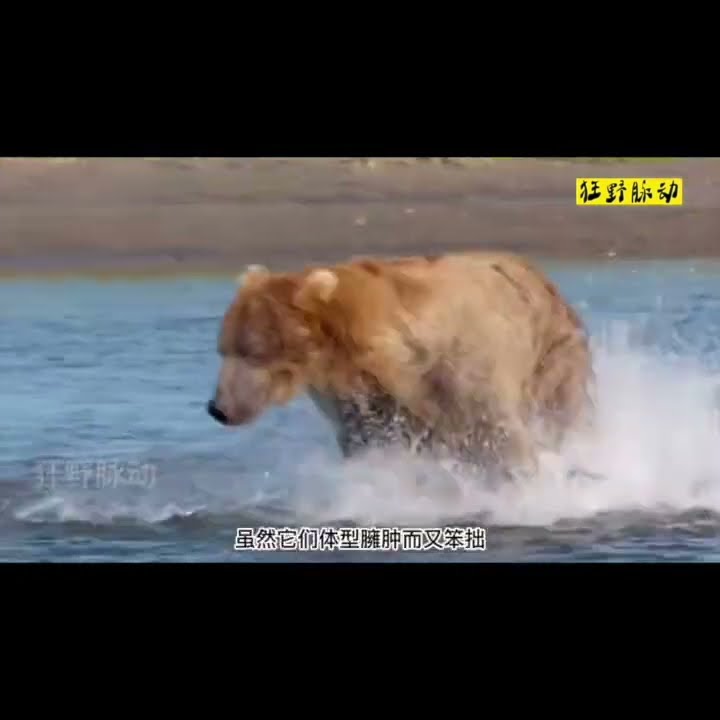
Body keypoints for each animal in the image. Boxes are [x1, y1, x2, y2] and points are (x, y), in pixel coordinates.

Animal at [207, 251, 595, 479]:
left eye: (252, 351)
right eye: (222, 348)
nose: (217, 407)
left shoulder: (462, 371)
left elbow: (499, 437)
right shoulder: (363, 400)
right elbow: (368, 442)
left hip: (552, 353)